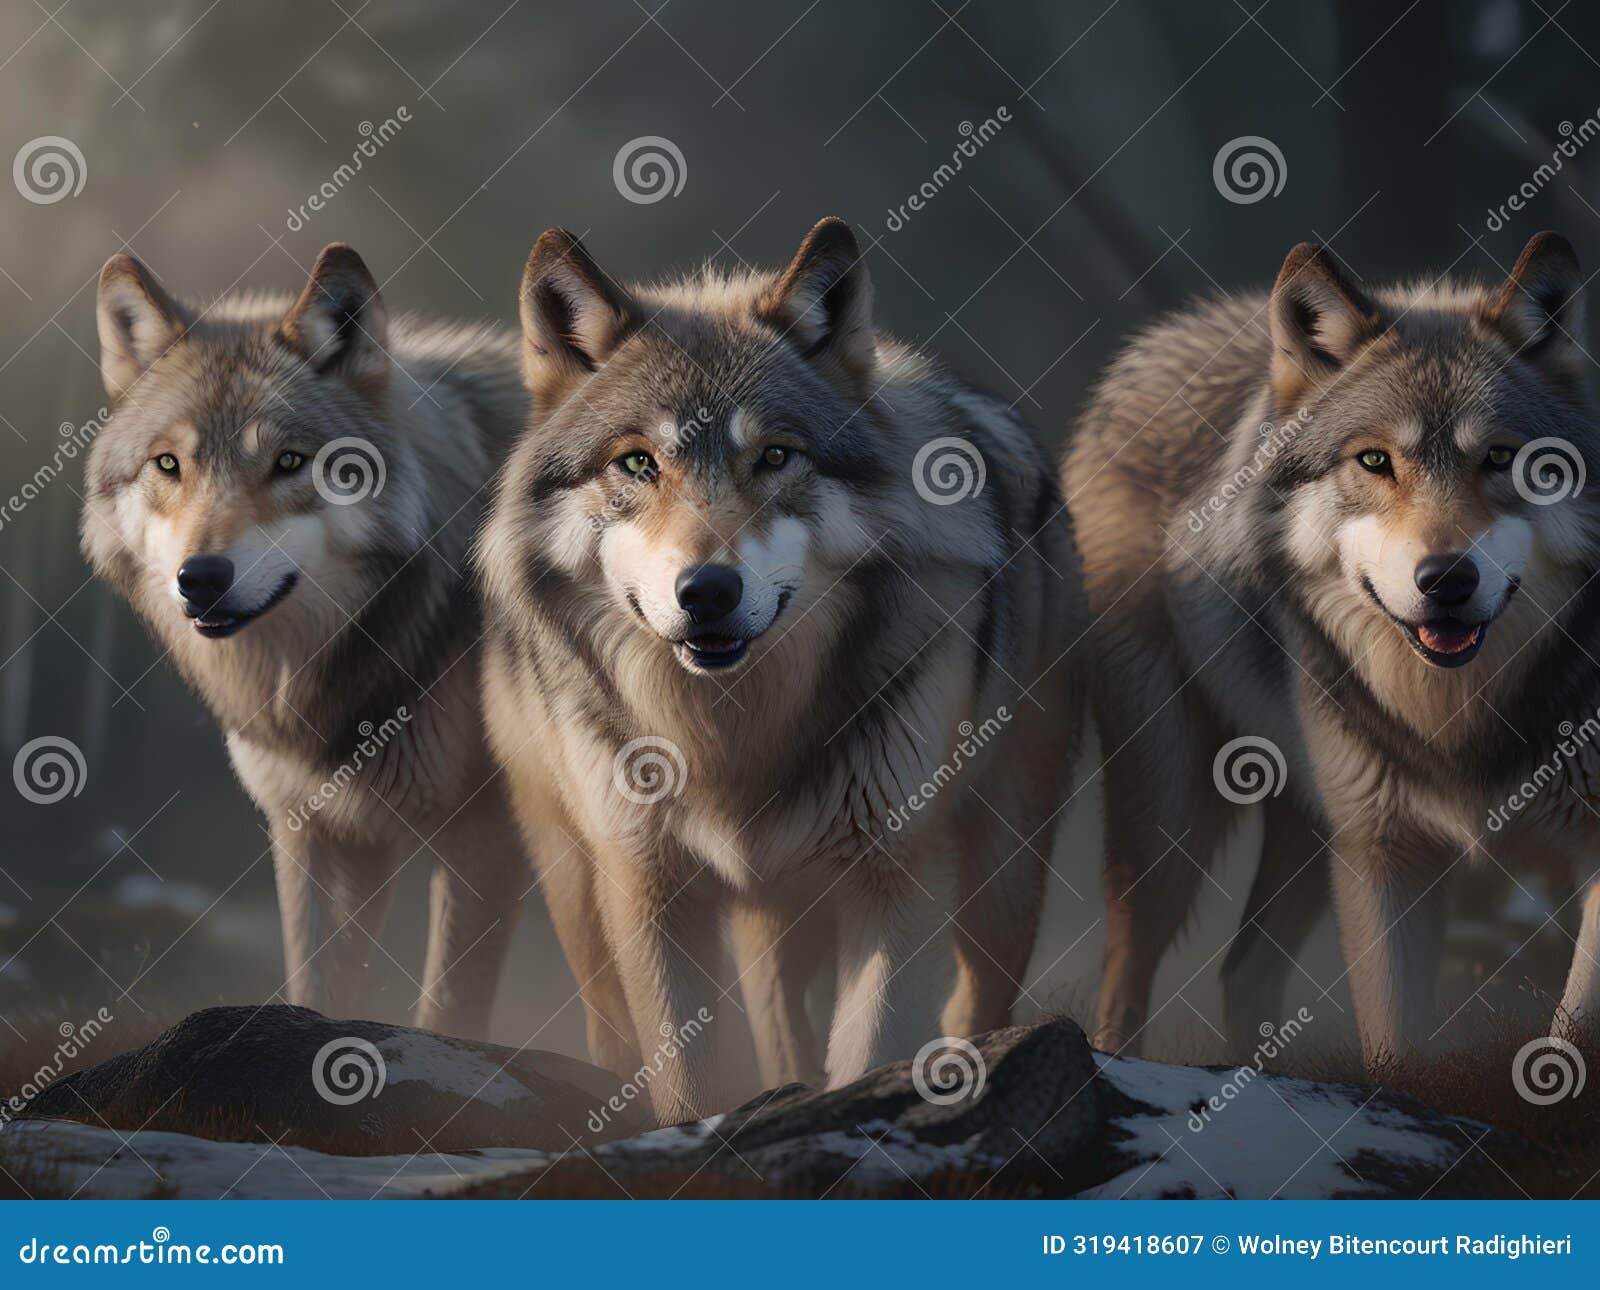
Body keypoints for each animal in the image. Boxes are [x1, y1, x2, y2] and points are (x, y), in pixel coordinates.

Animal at [81, 244, 529, 1037]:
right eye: (169, 465)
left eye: (288, 462)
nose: (200, 578)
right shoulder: (318, 834)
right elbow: (320, 992)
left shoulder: (485, 839)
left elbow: (448, 1010)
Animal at [478, 218, 1087, 1122]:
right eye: (637, 464)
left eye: (774, 456)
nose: (707, 591)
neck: (734, 737)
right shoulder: (649, 886)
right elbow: (688, 1083)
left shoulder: (893, 875)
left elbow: (871, 1055)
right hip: (586, 893)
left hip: (999, 877)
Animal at [1064, 230, 1600, 1064]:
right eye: (1374, 460)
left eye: (1499, 458)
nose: (1447, 578)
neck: (1454, 718)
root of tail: (1158, 342)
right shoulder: (1385, 860)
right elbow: (1396, 1048)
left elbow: (1573, 1032)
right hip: (1171, 817)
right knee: (1127, 969)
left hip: (1309, 834)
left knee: (1244, 964)